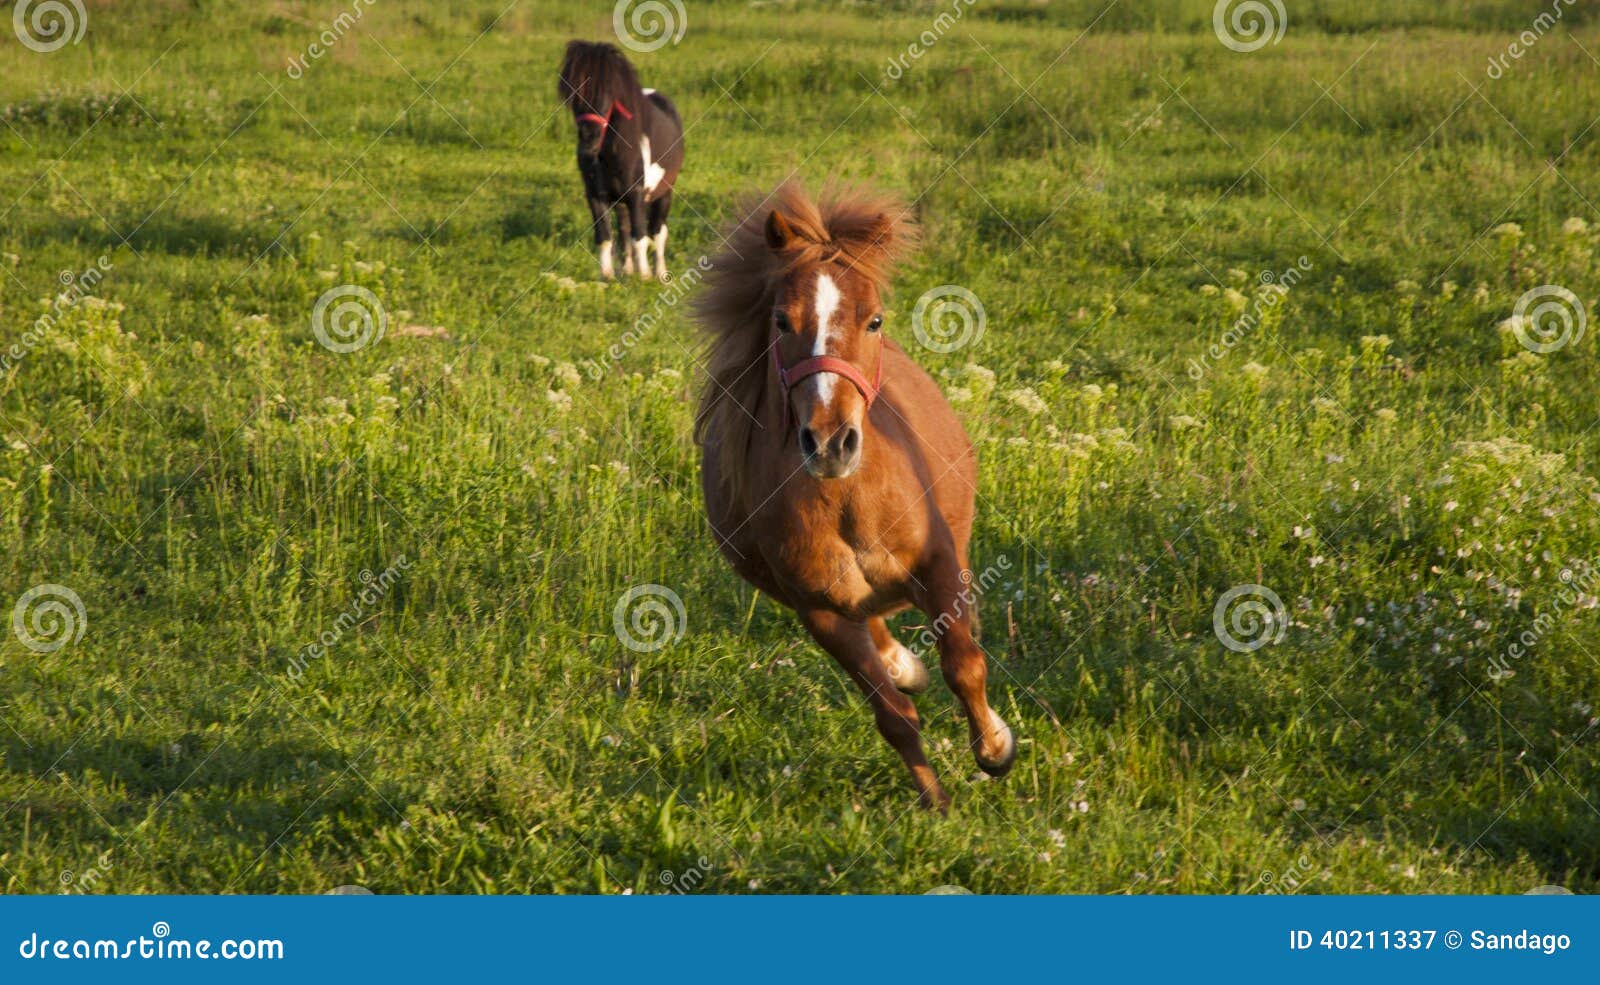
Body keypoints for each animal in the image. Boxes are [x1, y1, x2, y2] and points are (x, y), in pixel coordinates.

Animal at [558, 40, 683, 281]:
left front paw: (644, 277)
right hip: (622, 201)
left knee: (657, 232)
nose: (589, 139)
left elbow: (640, 236)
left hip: (664, 193)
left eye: (607, 90)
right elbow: (606, 236)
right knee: (626, 230)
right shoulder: (596, 195)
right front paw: (607, 276)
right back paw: (627, 270)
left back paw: (660, 274)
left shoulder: (636, 193)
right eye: (573, 90)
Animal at [693, 184, 1017, 811]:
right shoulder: (819, 613)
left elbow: (964, 665)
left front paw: (995, 748)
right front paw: (936, 803)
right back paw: (901, 665)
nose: (829, 442)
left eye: (874, 320)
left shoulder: (940, 564)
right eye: (780, 320)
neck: (847, 501)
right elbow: (892, 714)